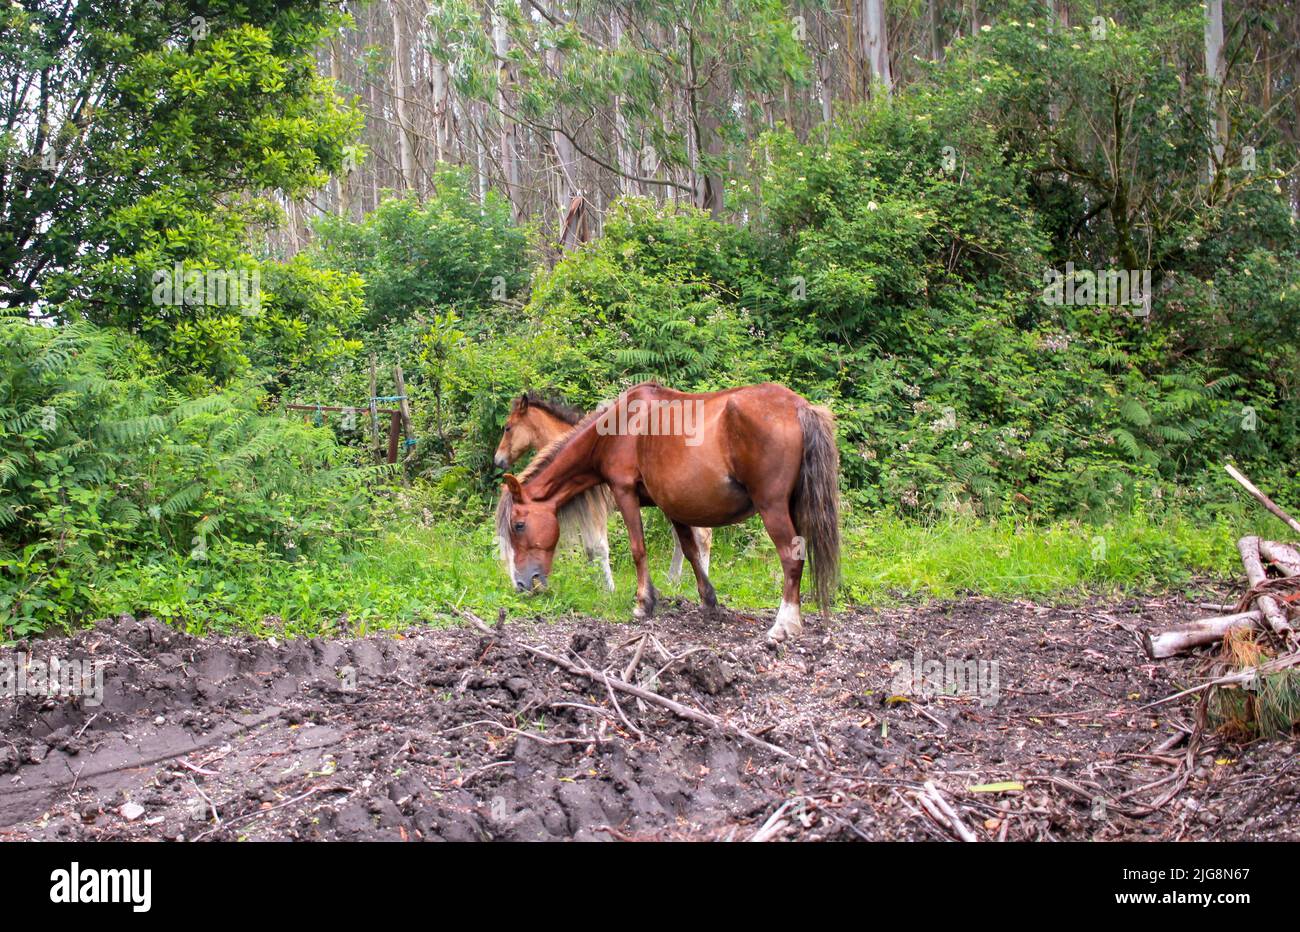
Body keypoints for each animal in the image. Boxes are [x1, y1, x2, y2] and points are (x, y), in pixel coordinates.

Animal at [493, 392, 712, 590]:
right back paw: (673, 581)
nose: (498, 460)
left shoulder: (595, 510)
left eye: (508, 427)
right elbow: (590, 549)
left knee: (703, 535)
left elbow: (598, 547)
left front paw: (609, 589)